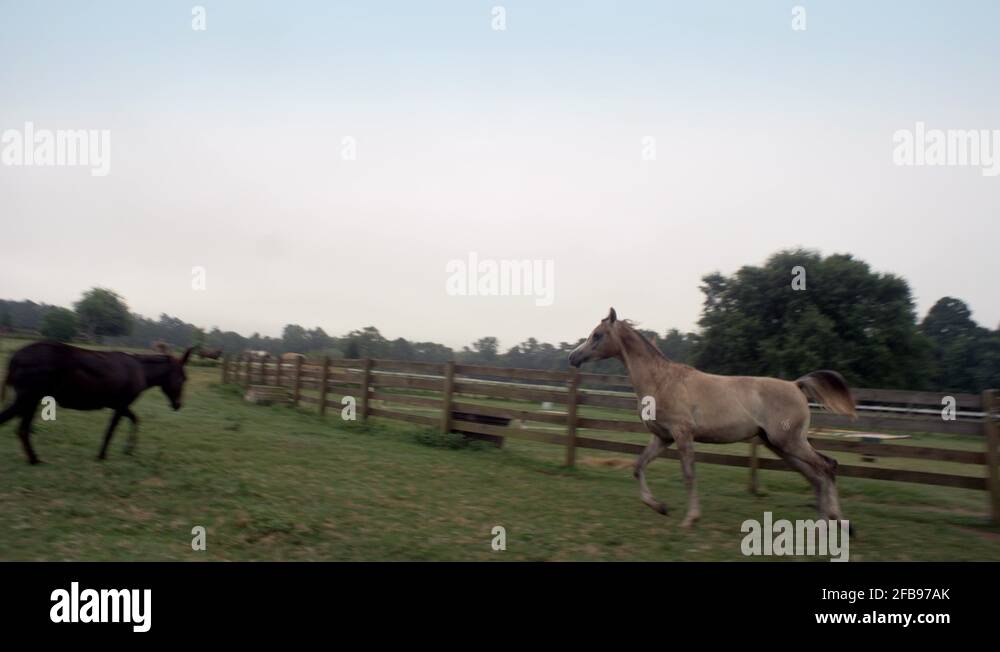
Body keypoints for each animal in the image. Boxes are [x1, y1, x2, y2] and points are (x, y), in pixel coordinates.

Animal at [0, 341, 194, 464]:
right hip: (29, 397)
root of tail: (14, 358)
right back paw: (34, 459)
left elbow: (135, 419)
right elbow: (111, 430)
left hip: (30, 398)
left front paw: (128, 450)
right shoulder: (121, 403)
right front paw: (102, 455)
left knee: (18, 426)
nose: (178, 404)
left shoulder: (118, 404)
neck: (143, 372)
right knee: (21, 428)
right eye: (183, 378)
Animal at [568, 308, 855, 528]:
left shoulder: (682, 434)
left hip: (790, 442)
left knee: (827, 466)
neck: (662, 381)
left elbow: (688, 475)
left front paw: (690, 519)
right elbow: (638, 467)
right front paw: (660, 507)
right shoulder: (662, 437)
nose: (573, 357)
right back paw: (825, 523)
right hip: (779, 445)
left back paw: (835, 521)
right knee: (815, 475)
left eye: (597, 334)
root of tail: (796, 385)